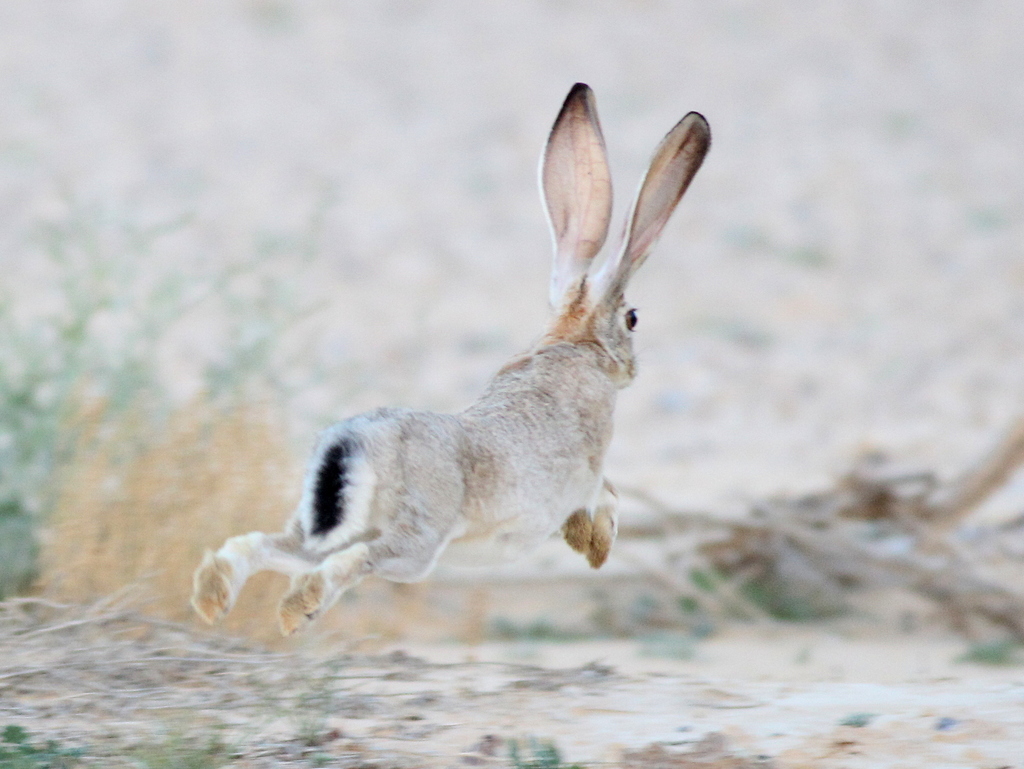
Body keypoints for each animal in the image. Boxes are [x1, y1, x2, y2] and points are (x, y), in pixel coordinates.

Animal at [191, 83, 710, 635]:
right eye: (633, 318)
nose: (632, 370)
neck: (572, 343)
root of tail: (357, 441)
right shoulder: (588, 468)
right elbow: (605, 495)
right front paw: (595, 545)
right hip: (418, 541)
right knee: (349, 562)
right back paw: (295, 613)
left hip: (324, 523)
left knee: (260, 545)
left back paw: (213, 601)